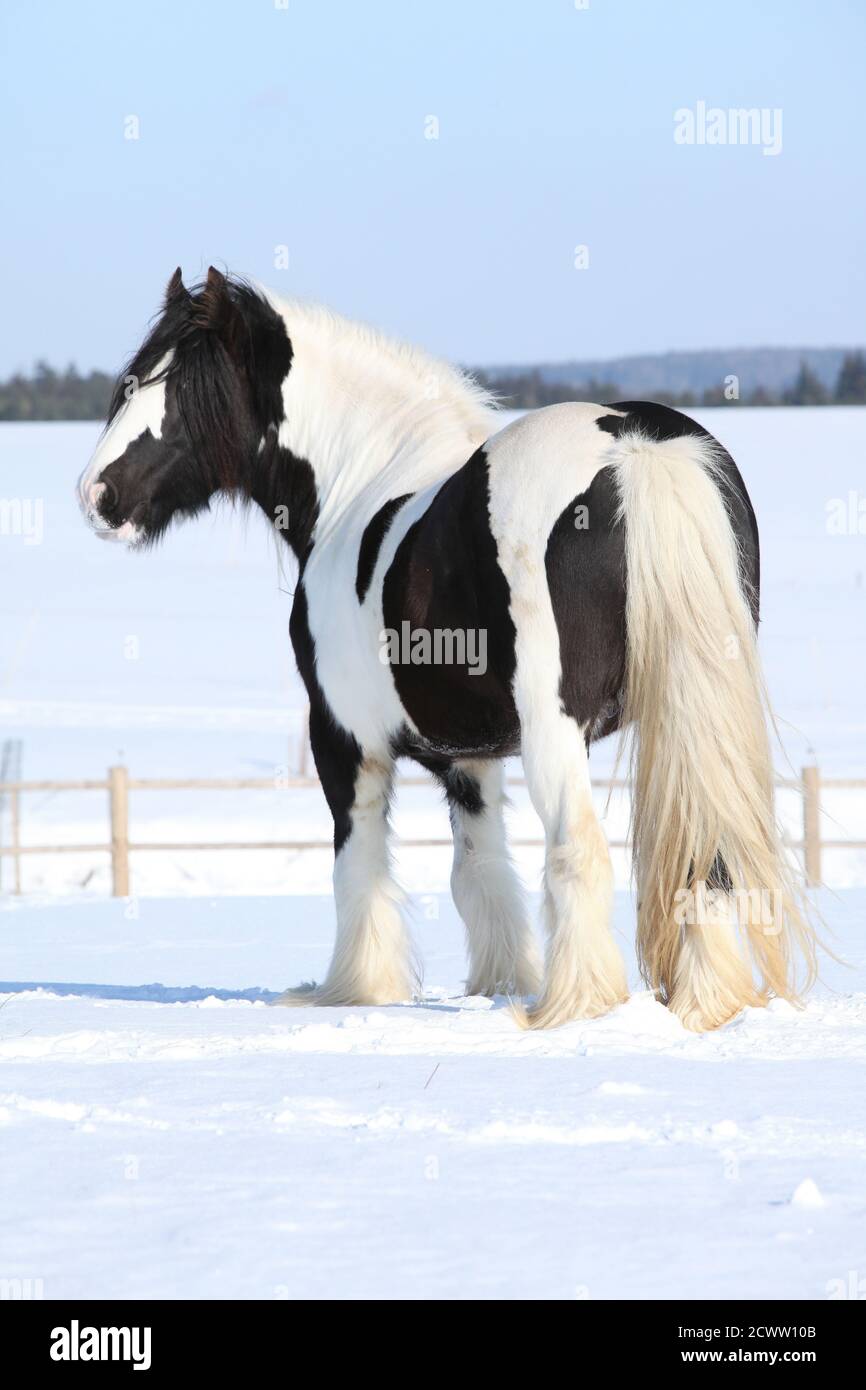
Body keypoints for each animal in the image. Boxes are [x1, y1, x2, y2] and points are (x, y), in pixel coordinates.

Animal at [79, 266, 816, 1031]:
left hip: (558, 731)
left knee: (578, 849)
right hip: (696, 709)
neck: (361, 484)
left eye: (177, 383)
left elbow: (359, 865)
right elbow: (479, 872)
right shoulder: (471, 759)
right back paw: (706, 1001)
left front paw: (358, 987)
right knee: (709, 849)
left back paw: (574, 1005)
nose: (98, 494)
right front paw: (499, 981)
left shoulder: (344, 739)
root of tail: (636, 448)